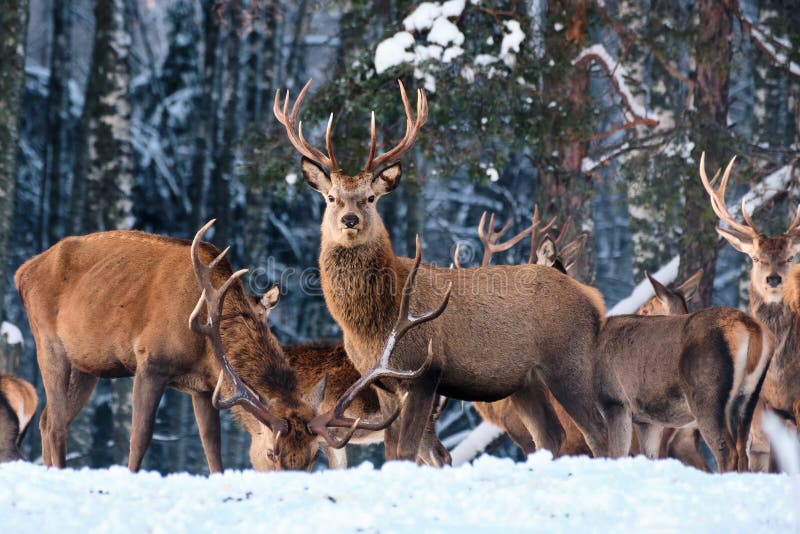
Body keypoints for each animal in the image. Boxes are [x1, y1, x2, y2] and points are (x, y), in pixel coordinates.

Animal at [14, 220, 431, 472]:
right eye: (271, 452)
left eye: (314, 456)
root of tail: (23, 270)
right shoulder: (150, 362)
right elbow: (139, 438)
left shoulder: (203, 386)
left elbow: (212, 450)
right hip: (47, 342)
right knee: (55, 424)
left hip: (89, 365)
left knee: (49, 419)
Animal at [275, 79, 614, 462]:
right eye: (331, 197)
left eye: (371, 198)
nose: (350, 219)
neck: (373, 322)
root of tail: (594, 300)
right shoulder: (381, 382)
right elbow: (392, 452)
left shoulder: (426, 370)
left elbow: (407, 450)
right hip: (527, 380)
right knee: (551, 435)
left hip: (568, 360)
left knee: (596, 430)